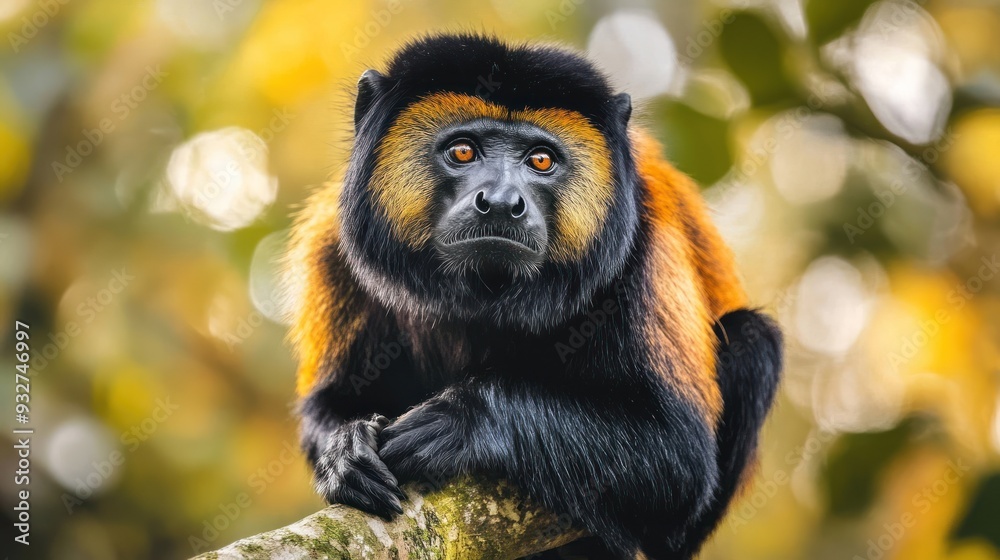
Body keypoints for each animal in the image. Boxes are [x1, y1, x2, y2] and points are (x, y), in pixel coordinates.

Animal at [287, 34, 782, 559]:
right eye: (462, 151)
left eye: (541, 160)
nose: (503, 202)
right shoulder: (333, 246)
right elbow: (333, 400)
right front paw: (345, 448)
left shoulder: (645, 244)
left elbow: (679, 456)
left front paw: (465, 418)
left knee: (755, 338)